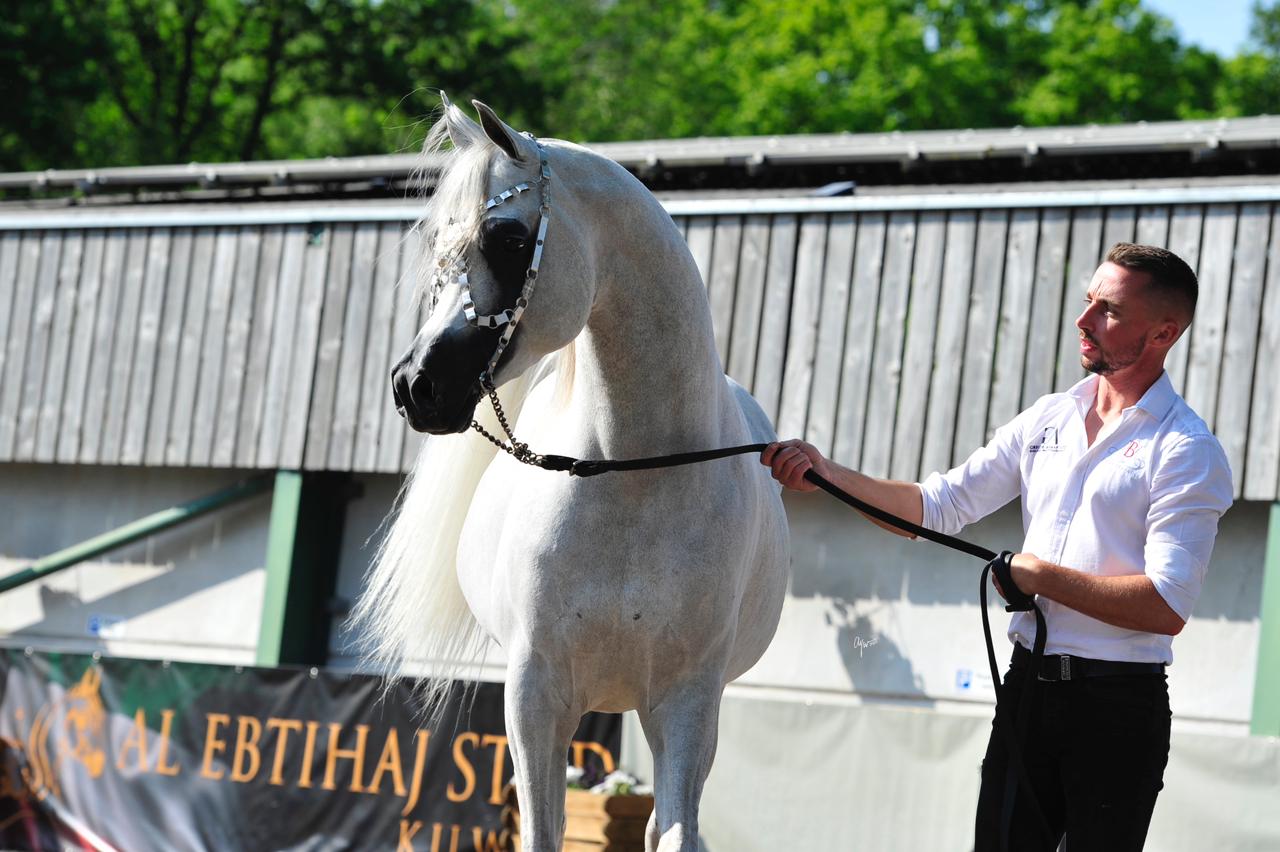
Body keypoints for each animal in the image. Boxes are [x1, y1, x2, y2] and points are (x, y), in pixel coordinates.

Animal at [352, 95, 790, 852]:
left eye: (505, 238)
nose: (415, 385)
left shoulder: (688, 700)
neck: (633, 477)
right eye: (436, 241)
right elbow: (540, 830)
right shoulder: (534, 695)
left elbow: (677, 833)